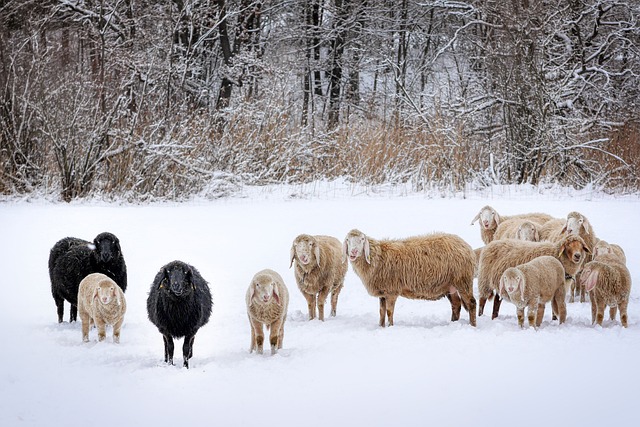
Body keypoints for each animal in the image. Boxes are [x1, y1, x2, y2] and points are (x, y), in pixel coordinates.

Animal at [343, 229, 477, 327]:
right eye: (348, 240)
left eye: (362, 239)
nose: (353, 252)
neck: (377, 257)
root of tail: (466, 246)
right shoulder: (383, 292)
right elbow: (381, 312)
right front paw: (381, 327)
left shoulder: (392, 291)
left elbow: (389, 311)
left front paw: (390, 327)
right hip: (450, 285)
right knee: (456, 305)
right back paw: (453, 323)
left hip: (462, 280)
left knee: (471, 303)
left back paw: (472, 325)